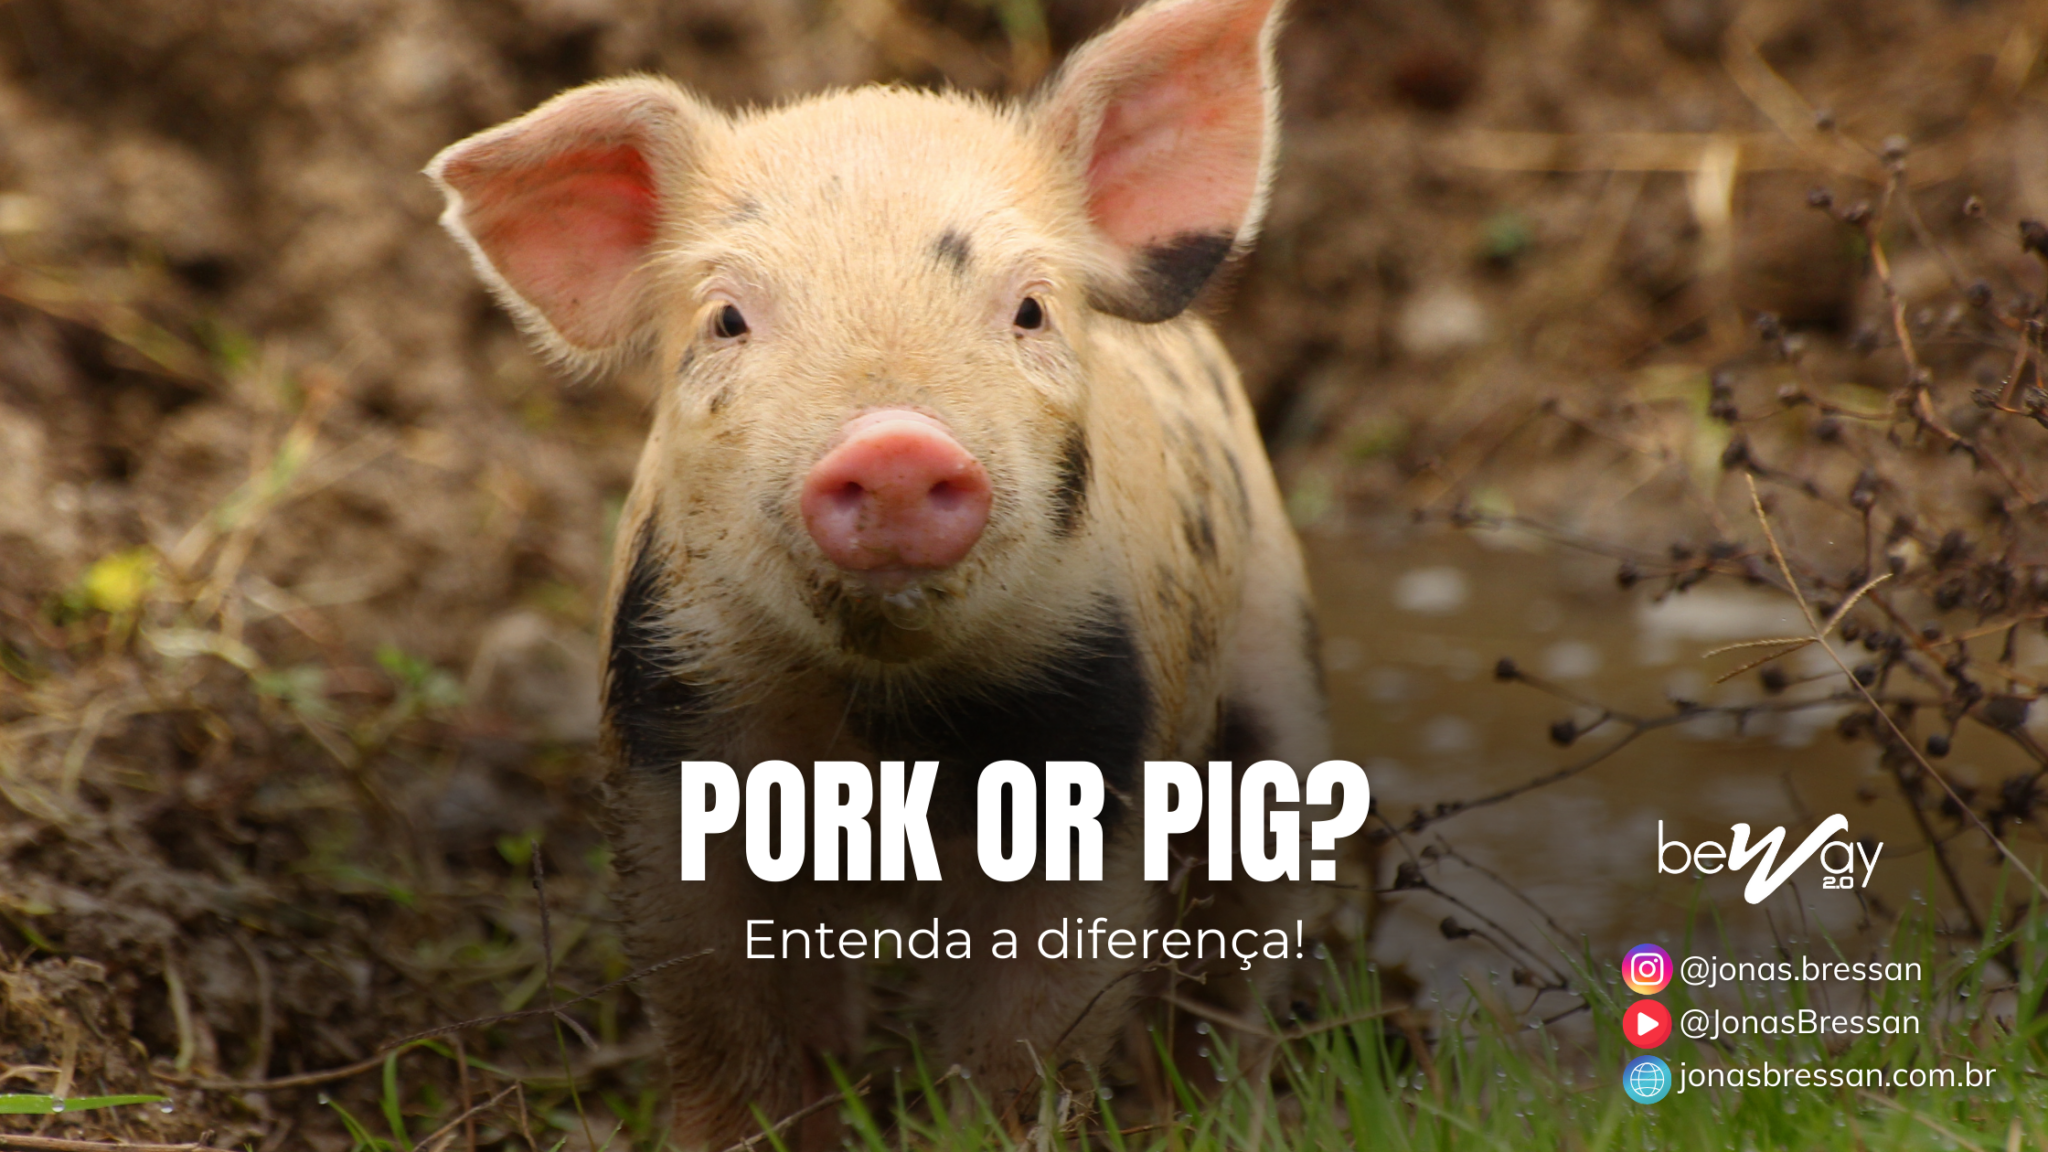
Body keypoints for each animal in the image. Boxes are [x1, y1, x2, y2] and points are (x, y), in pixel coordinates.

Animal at [426, 0, 1329, 1145]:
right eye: (727, 318)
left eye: (1030, 309)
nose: (894, 442)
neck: (881, 712)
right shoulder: (671, 742)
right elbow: (729, 1026)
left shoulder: (1092, 750)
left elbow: (1027, 1035)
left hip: (1276, 663)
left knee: (1234, 960)